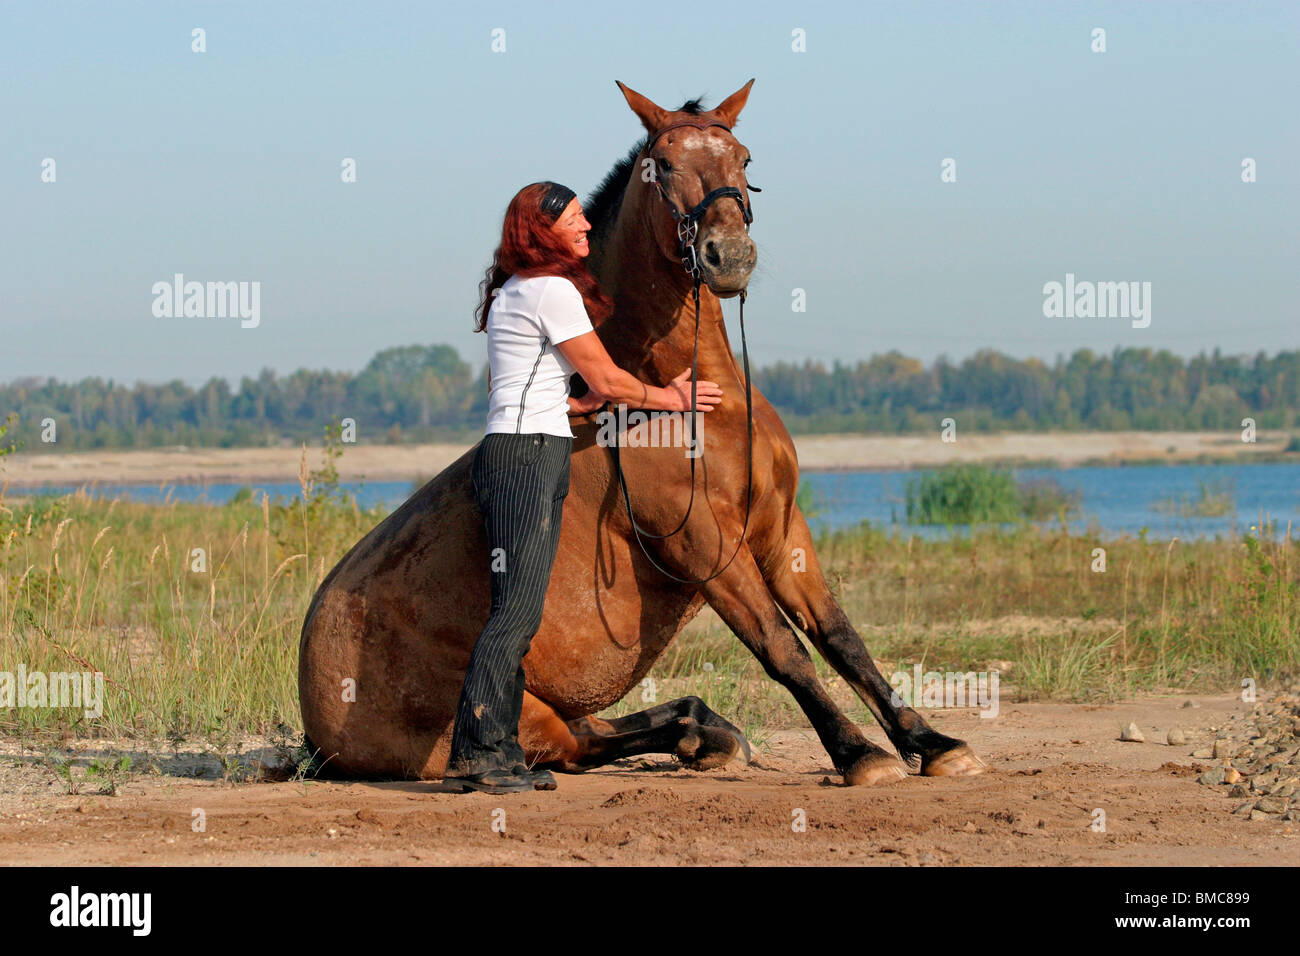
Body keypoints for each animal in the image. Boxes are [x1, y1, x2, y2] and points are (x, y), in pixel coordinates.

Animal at [297, 79, 986, 786]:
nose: (728, 256)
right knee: (575, 746)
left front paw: (934, 743)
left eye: (743, 158)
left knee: (598, 731)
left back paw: (705, 730)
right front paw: (860, 754)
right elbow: (782, 647)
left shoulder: (781, 529)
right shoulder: (706, 546)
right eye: (665, 166)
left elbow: (841, 637)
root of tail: (317, 721)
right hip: (527, 714)